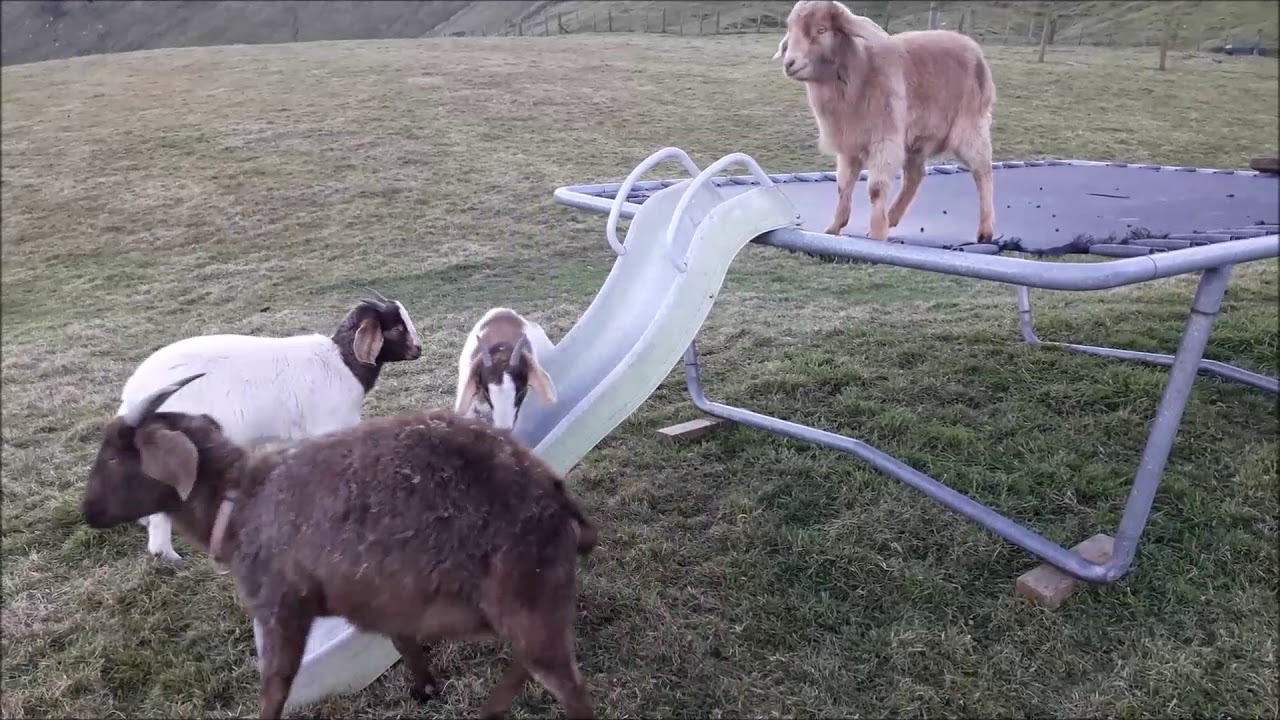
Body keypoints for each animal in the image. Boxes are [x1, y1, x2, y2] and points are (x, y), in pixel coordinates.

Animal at [81, 373, 598, 719]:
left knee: (570, 687)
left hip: (529, 604)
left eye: (113, 456)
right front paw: (427, 688)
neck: (239, 501)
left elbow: (275, 688)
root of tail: (555, 495)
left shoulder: (282, 608)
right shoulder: (382, 599)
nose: (87, 512)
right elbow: (403, 640)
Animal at [780, 0, 997, 243]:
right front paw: (835, 227)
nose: (789, 63)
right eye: (790, 30)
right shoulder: (849, 145)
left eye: (821, 29)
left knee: (983, 172)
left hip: (971, 127)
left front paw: (876, 233)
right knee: (914, 176)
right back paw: (891, 217)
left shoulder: (884, 140)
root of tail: (973, 46)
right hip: (916, 138)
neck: (860, 72)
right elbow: (843, 186)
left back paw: (986, 230)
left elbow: (875, 188)